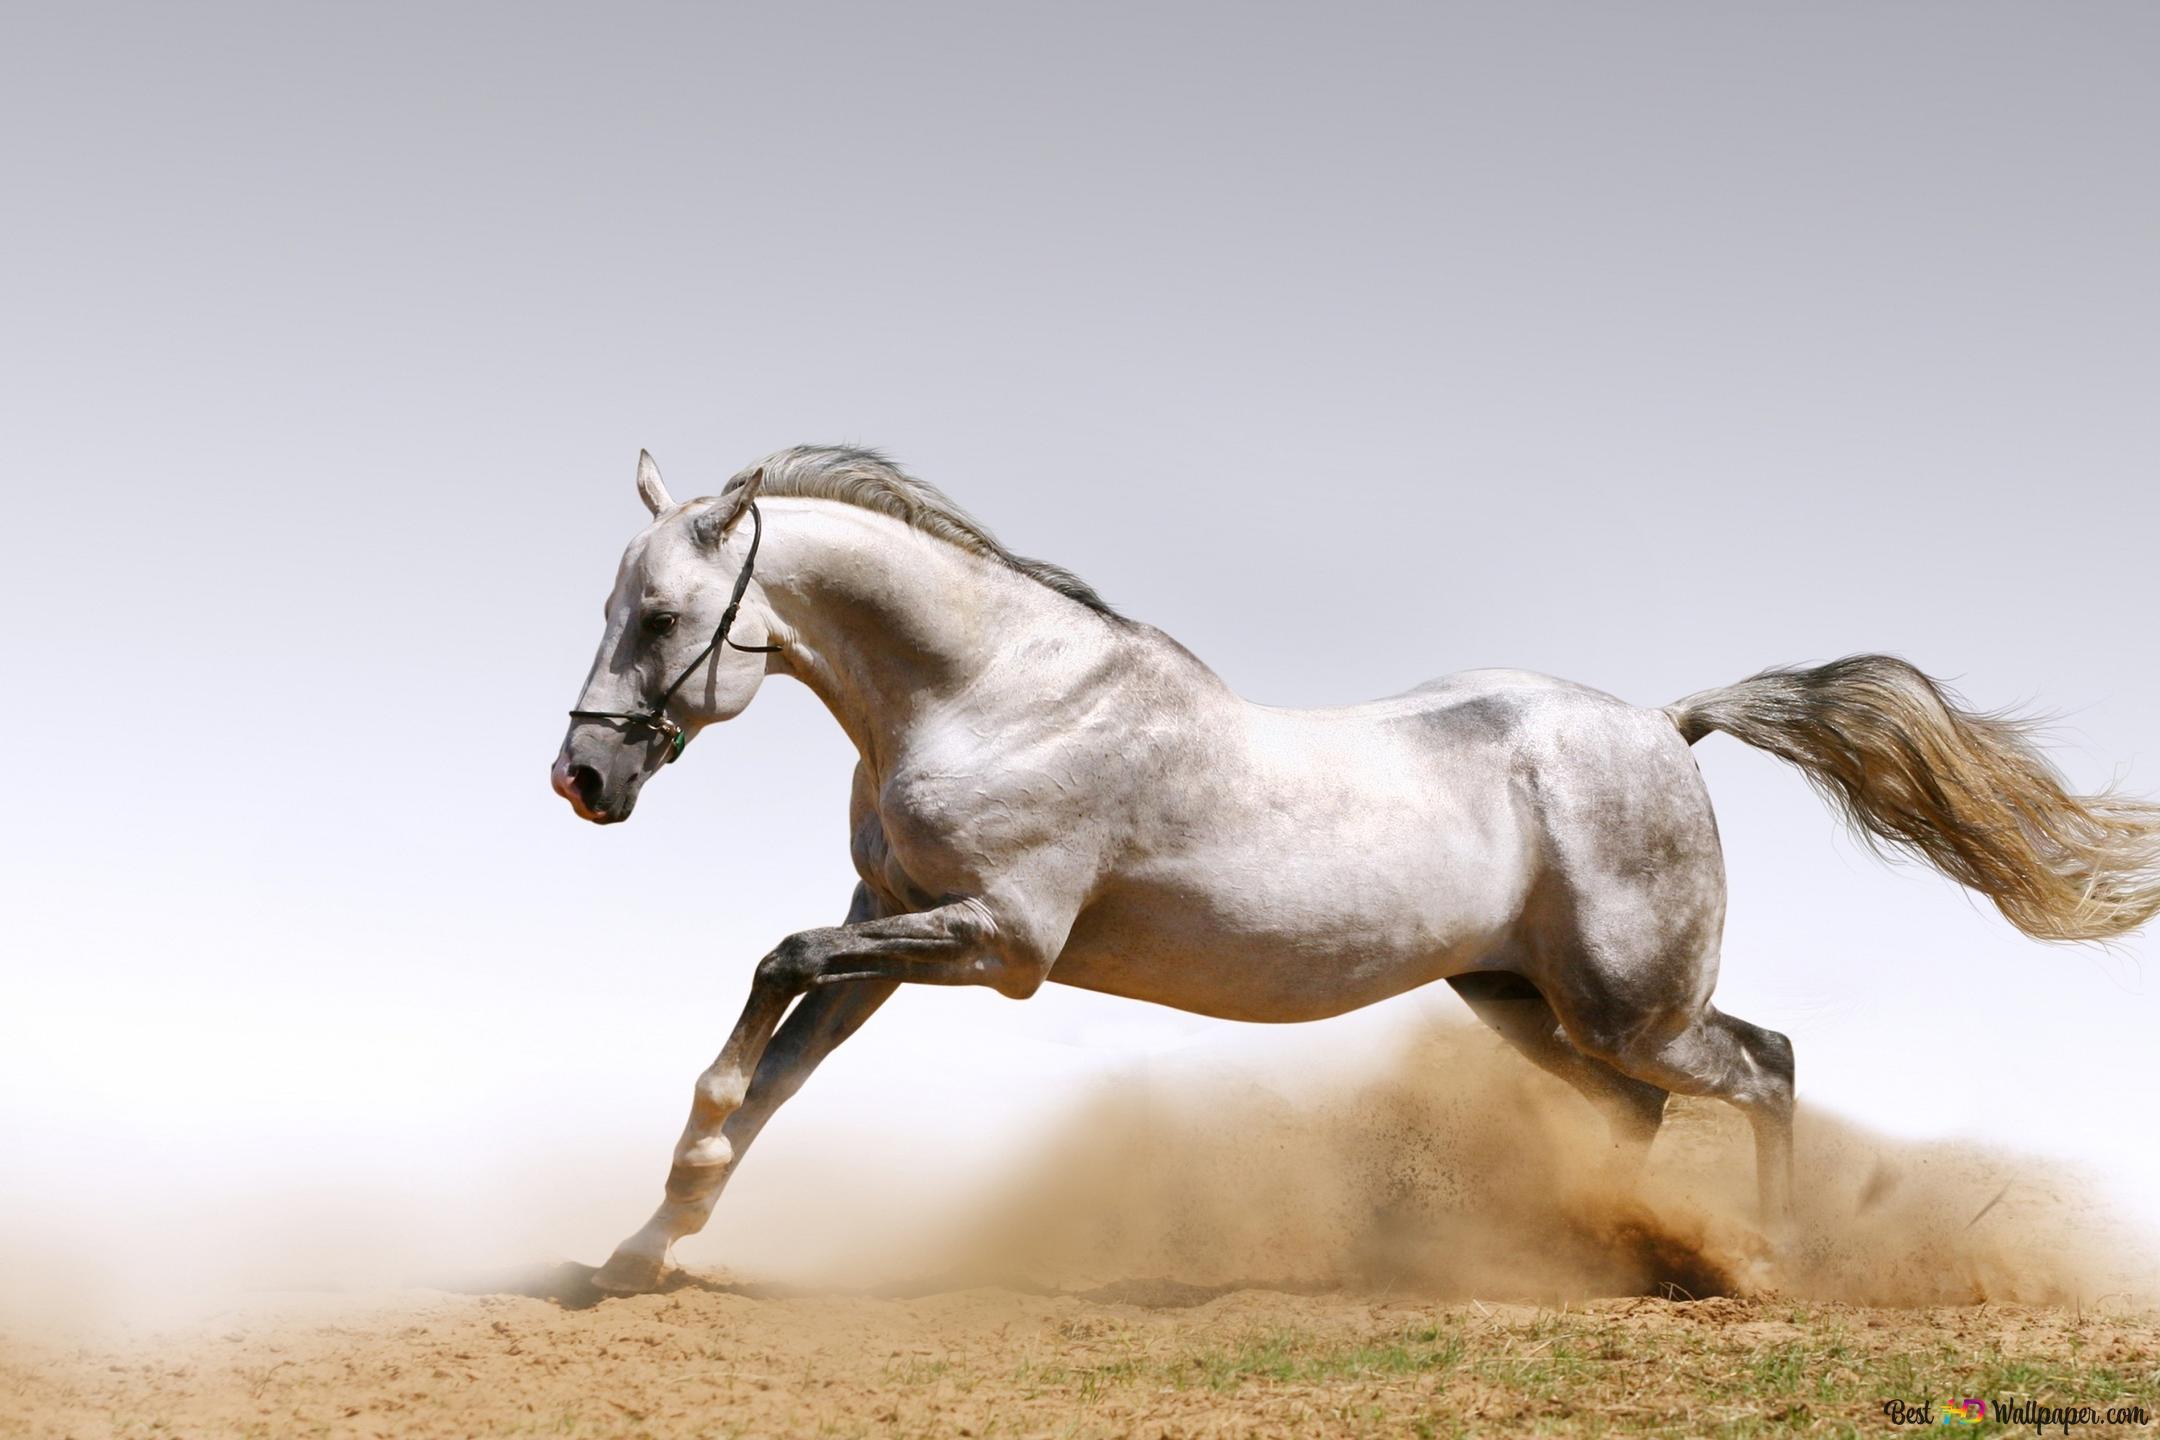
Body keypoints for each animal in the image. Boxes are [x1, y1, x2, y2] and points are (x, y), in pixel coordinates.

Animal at [552, 446, 2160, 1295]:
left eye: (665, 616)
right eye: (617, 606)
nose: (583, 780)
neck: (993, 690)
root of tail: (1667, 725)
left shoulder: (997, 942)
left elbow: (769, 977)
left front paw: (662, 1206)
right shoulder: (891, 920)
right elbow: (777, 1066)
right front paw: (641, 1248)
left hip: (1630, 1002)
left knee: (1762, 1065)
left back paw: (1767, 1263)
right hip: (1521, 1001)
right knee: (1641, 1113)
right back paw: (1596, 1255)